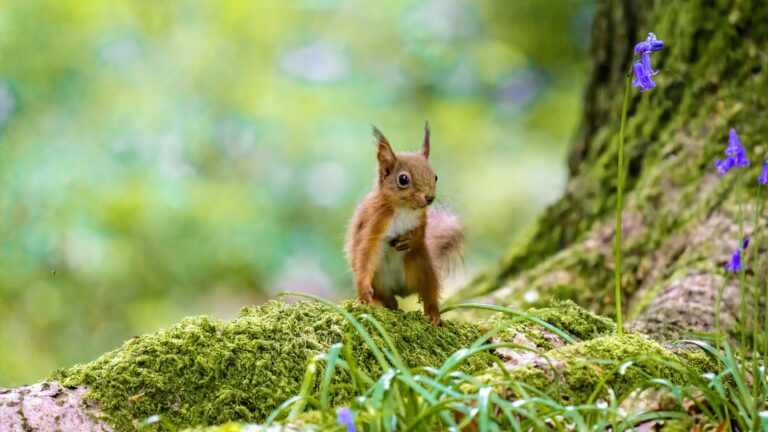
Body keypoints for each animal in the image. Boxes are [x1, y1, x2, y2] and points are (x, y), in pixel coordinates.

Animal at [345, 123, 465, 325]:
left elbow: (421, 233)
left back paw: (434, 315)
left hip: (424, 267)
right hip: (380, 282)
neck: (404, 209)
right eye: (403, 179)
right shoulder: (374, 222)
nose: (429, 198)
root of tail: (401, 290)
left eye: (435, 176)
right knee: (388, 300)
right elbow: (366, 251)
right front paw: (363, 295)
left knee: (430, 293)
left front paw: (410, 240)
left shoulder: (421, 218)